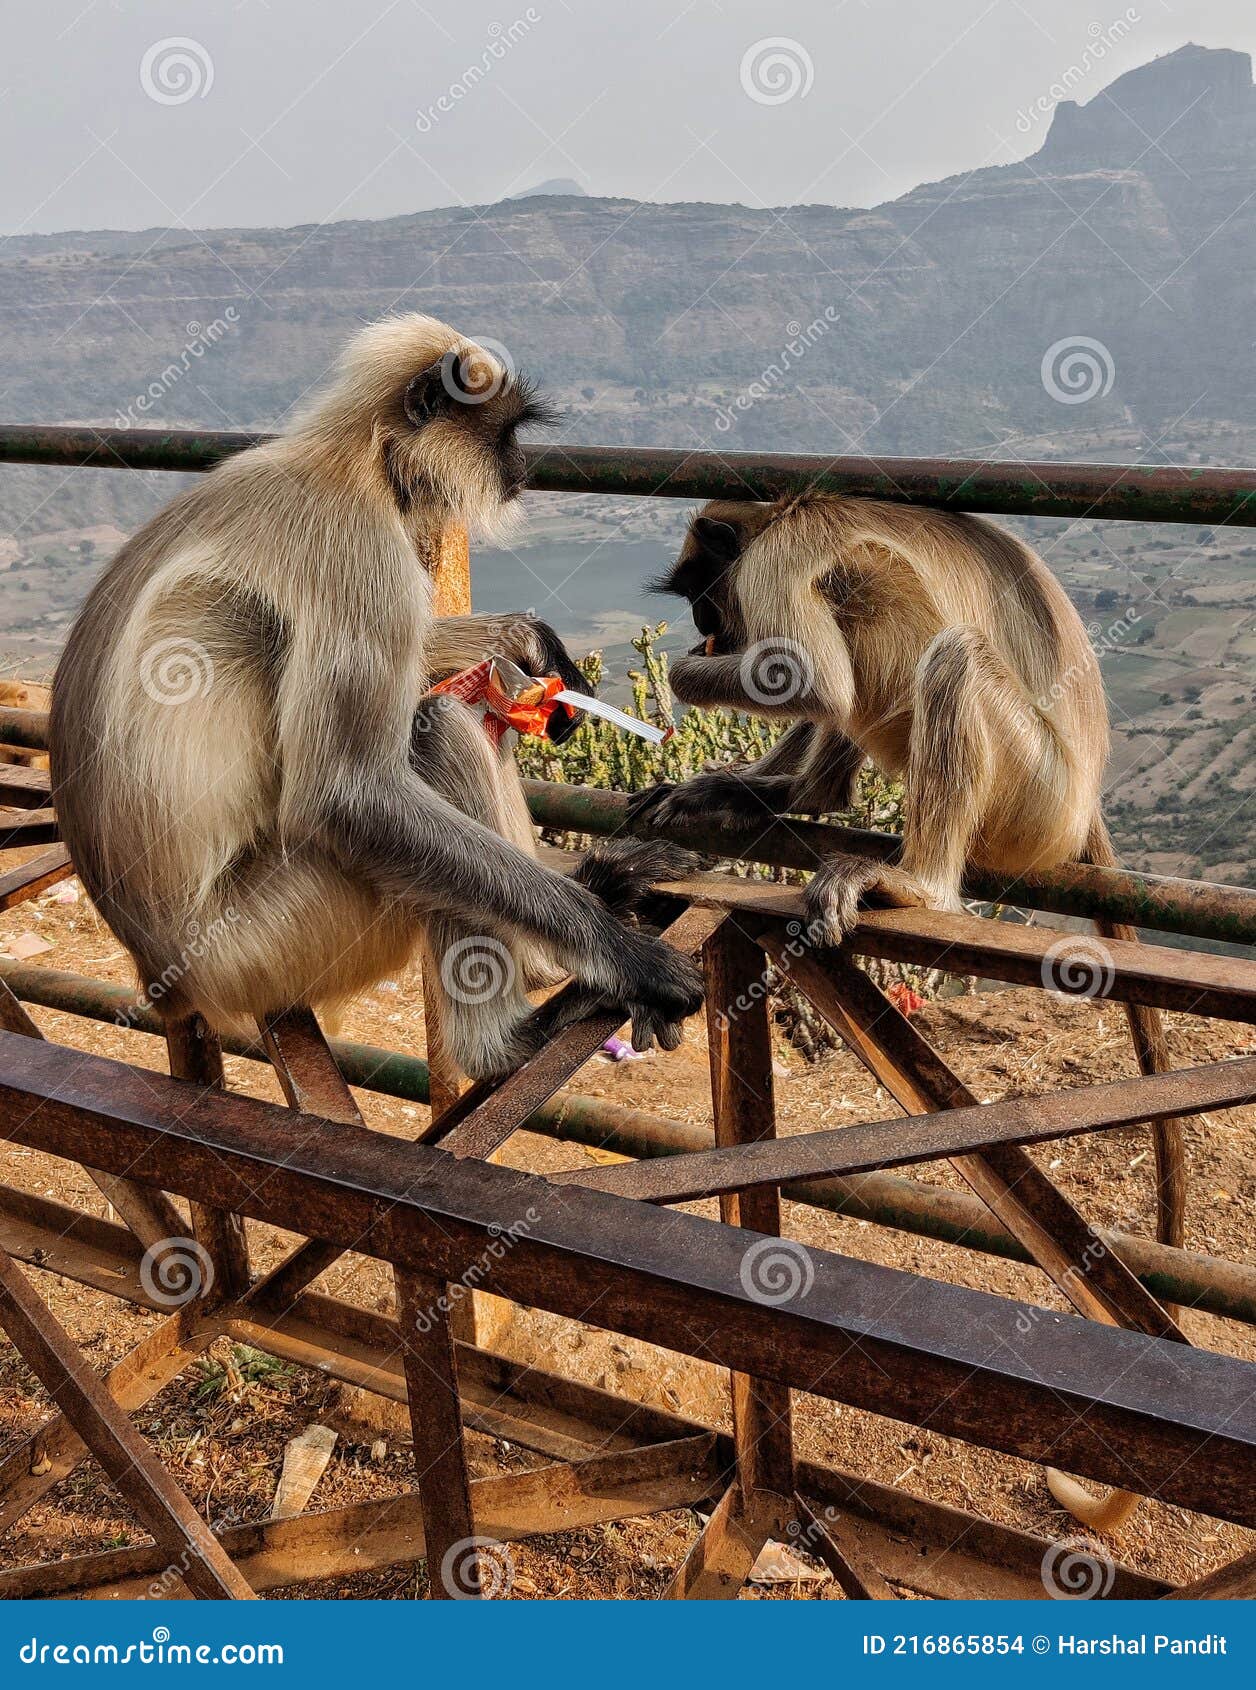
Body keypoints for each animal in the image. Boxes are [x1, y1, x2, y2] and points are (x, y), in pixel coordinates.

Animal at [50, 314, 703, 1083]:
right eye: (506, 436)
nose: (521, 471)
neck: (352, 457)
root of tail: (164, 976)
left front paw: (529, 644)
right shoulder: (355, 546)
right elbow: (347, 794)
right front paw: (624, 957)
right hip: (272, 940)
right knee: (434, 727)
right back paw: (508, 1038)